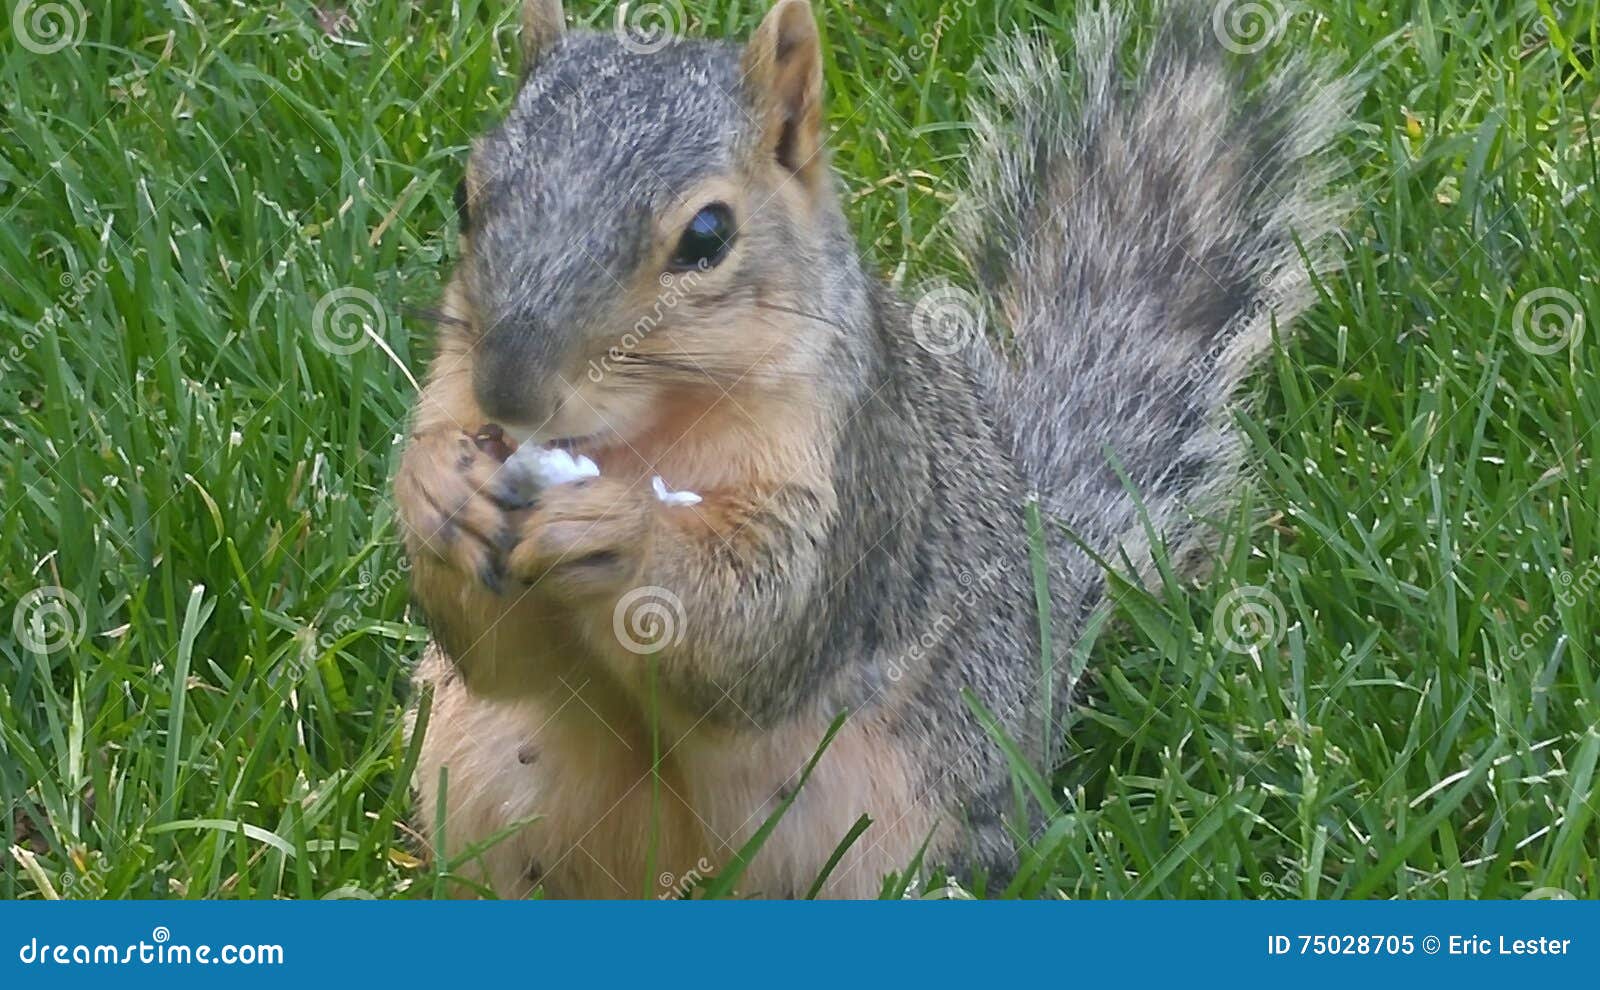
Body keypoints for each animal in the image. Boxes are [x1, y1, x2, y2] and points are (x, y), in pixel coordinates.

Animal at [394, 0, 1350, 897]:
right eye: (465, 196)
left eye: (708, 235)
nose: (509, 390)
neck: (641, 431)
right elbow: (496, 657)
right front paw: (438, 488)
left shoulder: (858, 472)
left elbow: (757, 627)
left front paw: (622, 534)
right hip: (474, 768)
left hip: (906, 819)